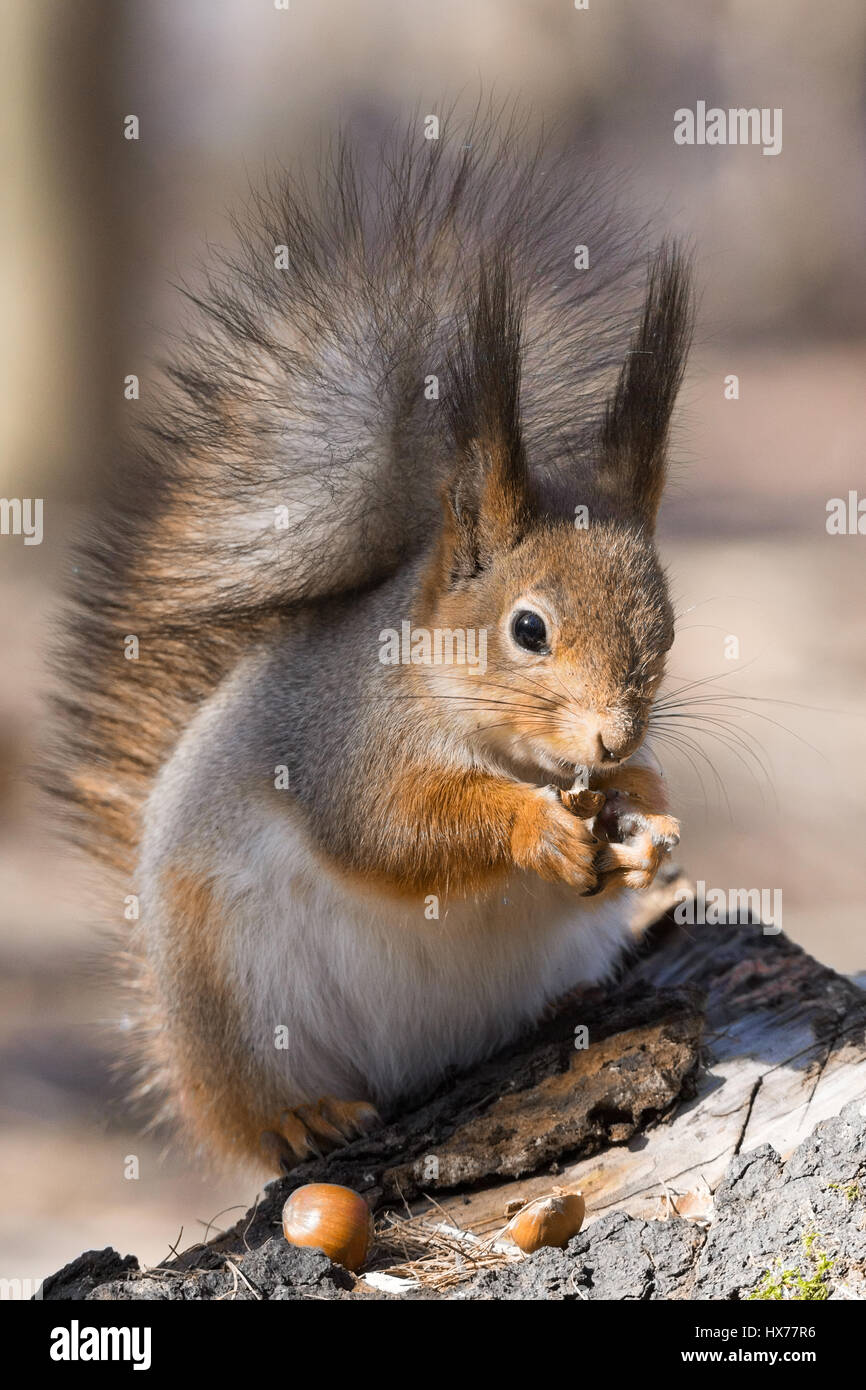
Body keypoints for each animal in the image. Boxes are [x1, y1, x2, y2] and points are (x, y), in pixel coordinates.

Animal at [52, 114, 693, 1174]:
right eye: (528, 629)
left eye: (669, 625)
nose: (613, 739)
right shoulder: (342, 745)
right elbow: (396, 829)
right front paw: (534, 829)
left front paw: (648, 815)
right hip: (230, 998)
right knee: (246, 1108)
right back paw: (297, 1116)